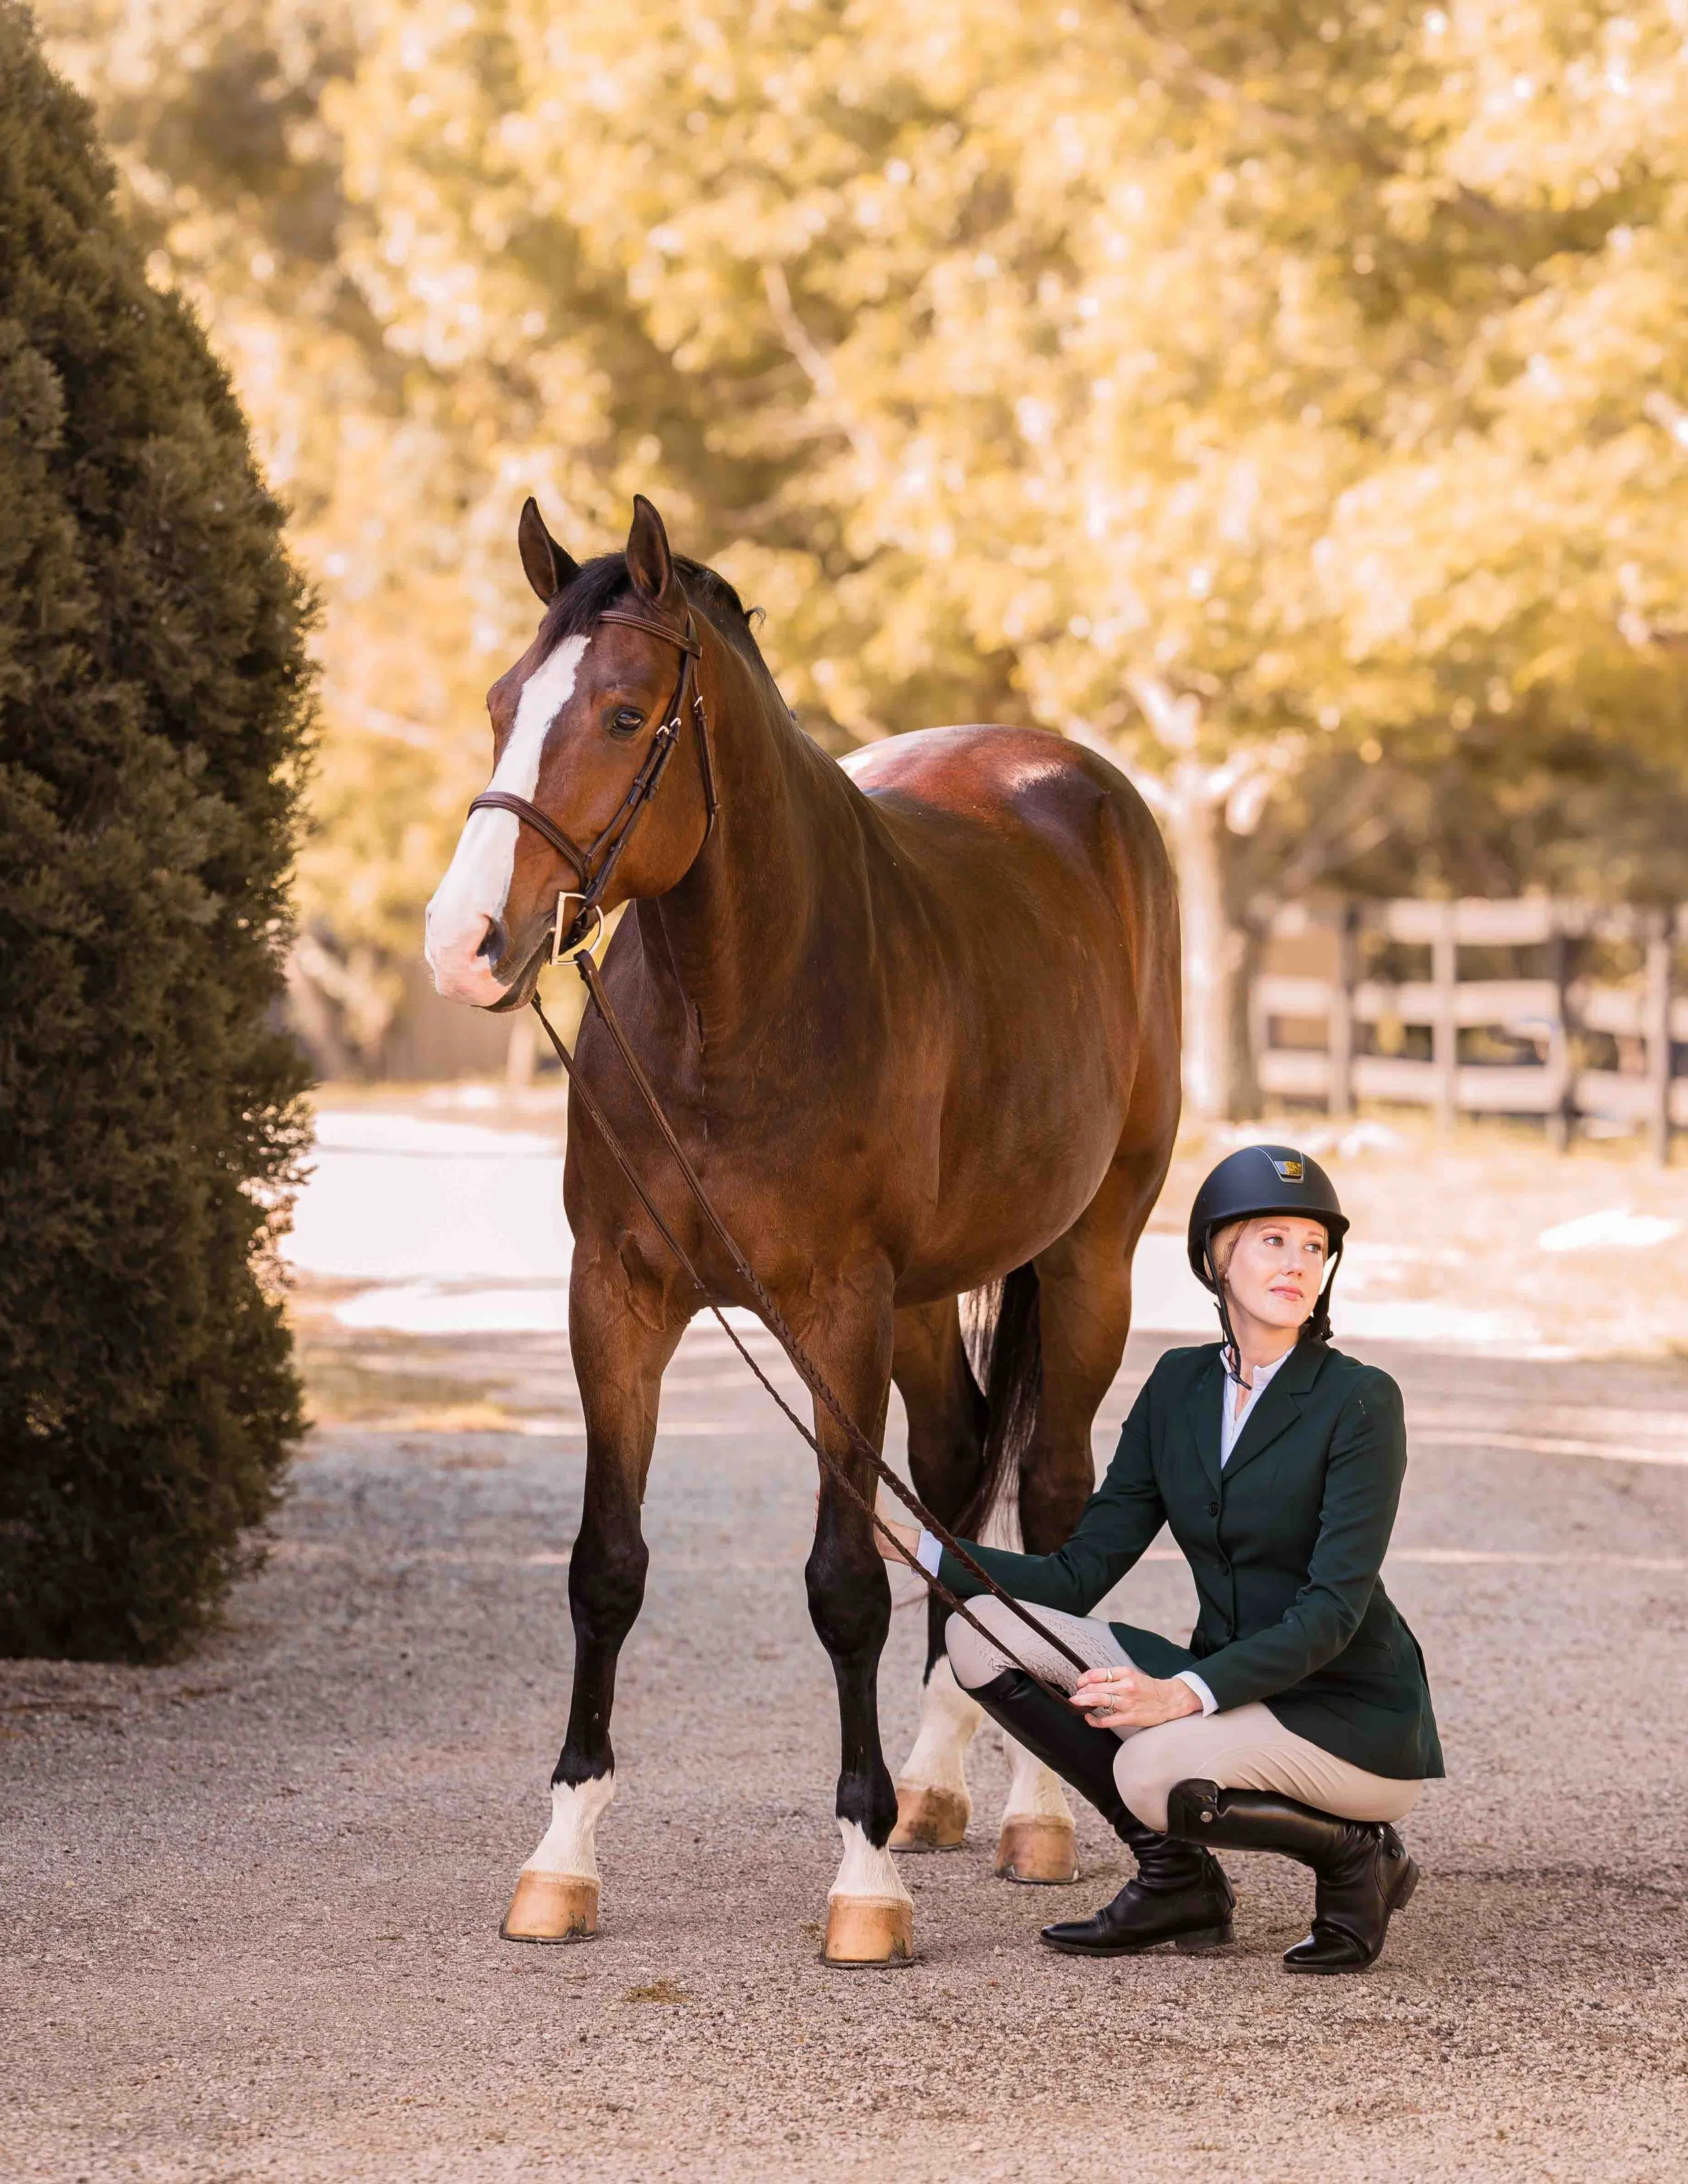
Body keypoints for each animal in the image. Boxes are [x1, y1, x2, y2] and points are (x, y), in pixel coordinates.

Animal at [424, 494, 1181, 1965]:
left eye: (621, 715)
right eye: (499, 704)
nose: (462, 940)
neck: (738, 1010)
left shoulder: (834, 1311)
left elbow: (843, 1584)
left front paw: (863, 1881)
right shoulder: (616, 1300)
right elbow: (605, 1571)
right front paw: (561, 1859)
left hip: (1086, 1259)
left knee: (1049, 1490)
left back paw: (1036, 1812)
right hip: (924, 1302)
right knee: (953, 1479)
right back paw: (941, 1782)